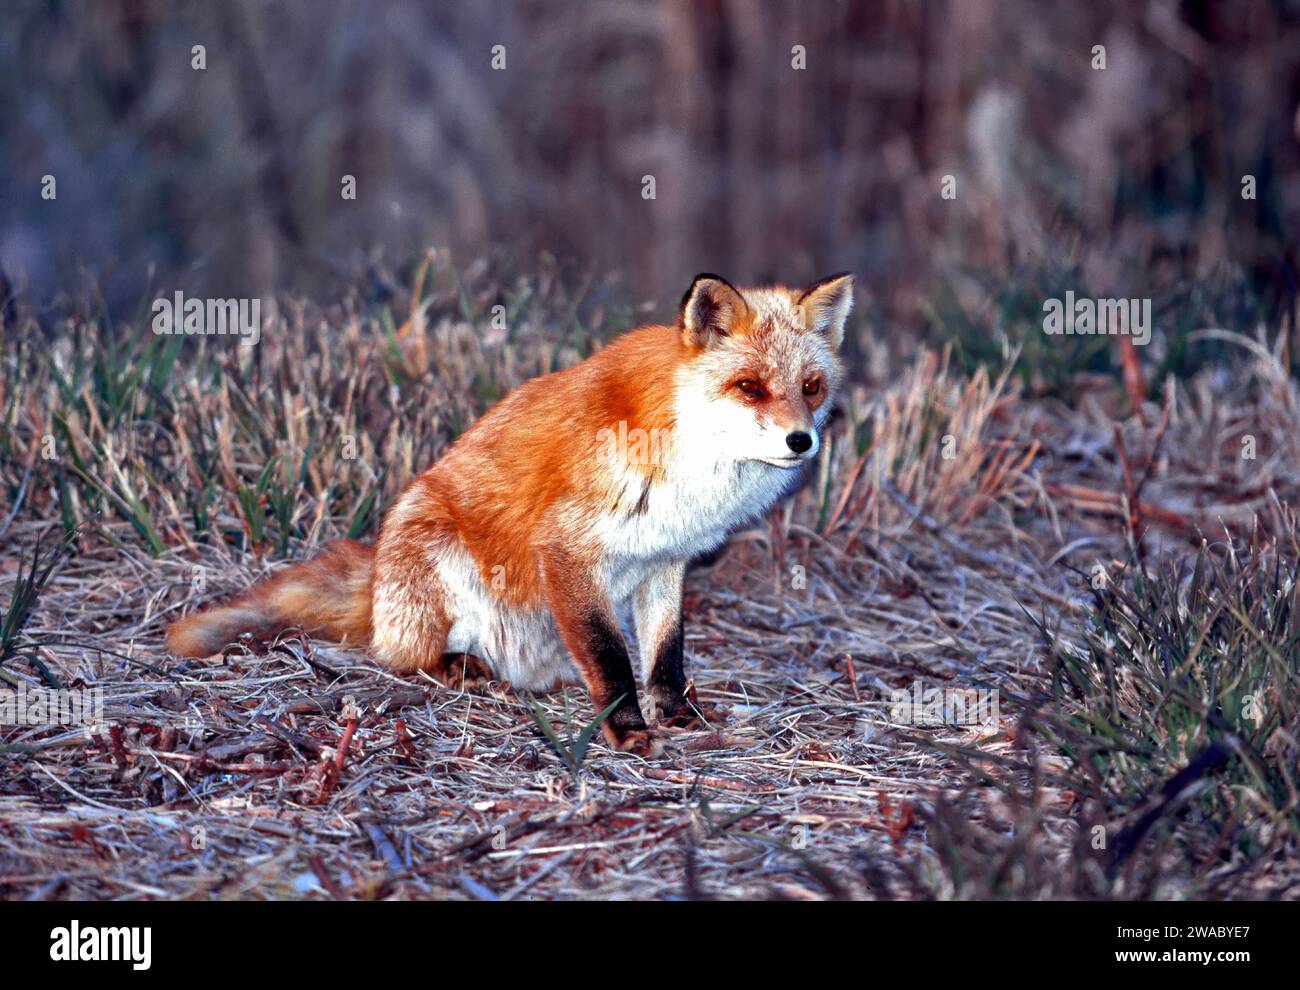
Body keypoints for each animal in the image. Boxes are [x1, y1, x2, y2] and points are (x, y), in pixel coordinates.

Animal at [166, 272, 853, 754]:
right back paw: (455, 667)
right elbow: (611, 657)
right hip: (436, 557)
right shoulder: (569, 546)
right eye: (750, 387)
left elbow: (664, 655)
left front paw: (678, 715)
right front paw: (627, 729)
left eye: (811, 387)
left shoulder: (665, 558)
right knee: (399, 657)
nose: (802, 441)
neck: (688, 456)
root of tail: (376, 583)